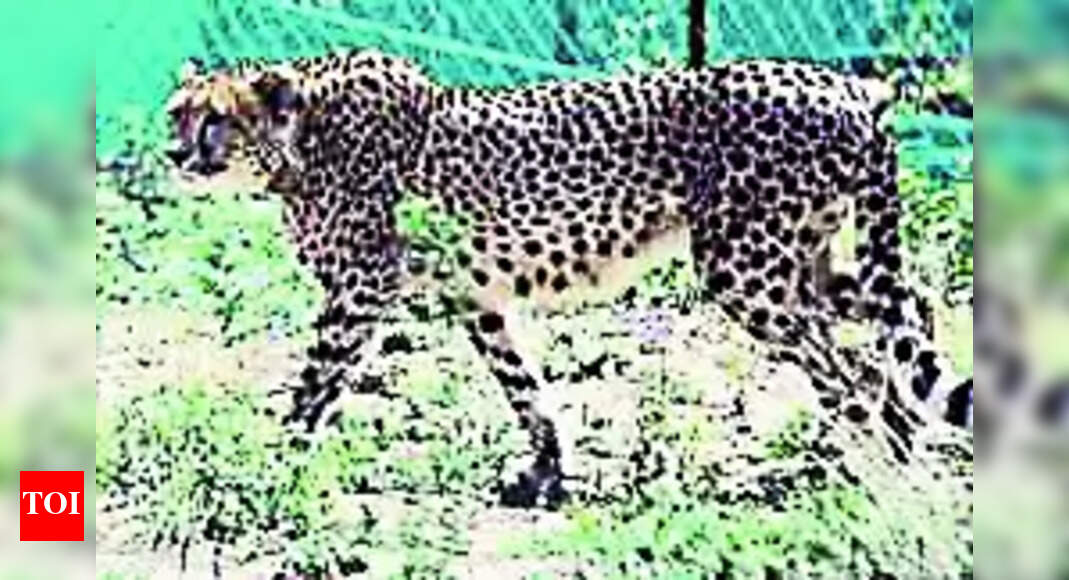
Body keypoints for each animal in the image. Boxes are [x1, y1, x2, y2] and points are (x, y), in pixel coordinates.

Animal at [164, 49, 975, 507]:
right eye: (177, 114)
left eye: (216, 121)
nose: (174, 153)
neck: (302, 137)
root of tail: (850, 89)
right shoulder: (475, 297)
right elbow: (523, 388)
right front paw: (545, 475)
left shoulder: (360, 290)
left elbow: (314, 387)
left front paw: (271, 461)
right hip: (800, 263)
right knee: (907, 311)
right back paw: (897, 446)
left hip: (743, 270)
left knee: (853, 372)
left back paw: (876, 471)